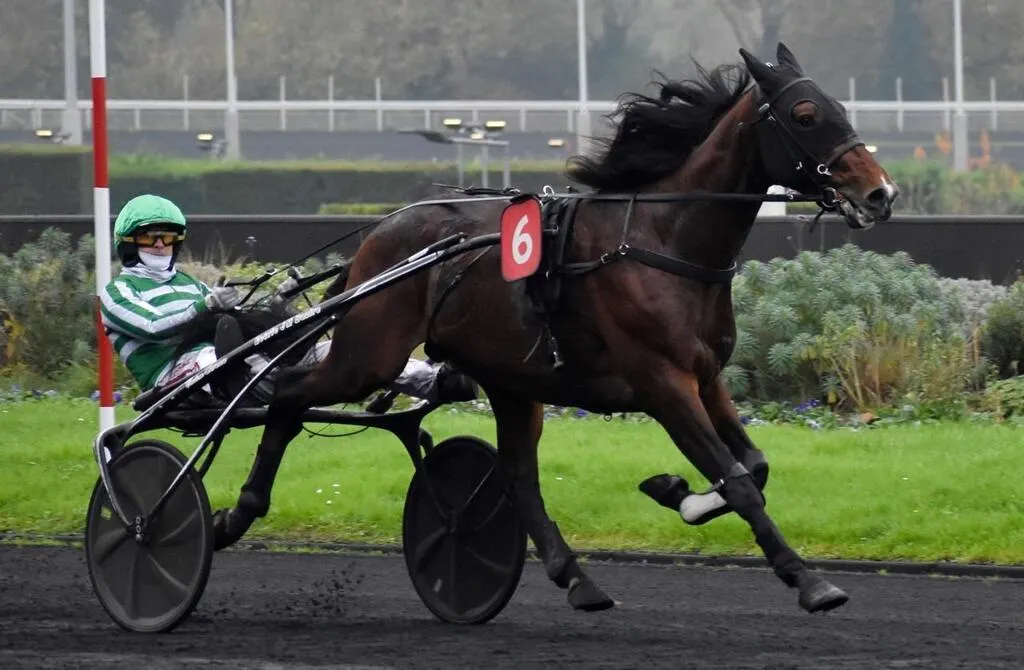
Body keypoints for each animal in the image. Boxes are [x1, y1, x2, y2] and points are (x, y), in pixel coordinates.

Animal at [210, 43, 899, 615]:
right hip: (368, 356)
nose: (881, 194)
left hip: (512, 381)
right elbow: (739, 480)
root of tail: (376, 236)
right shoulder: (663, 383)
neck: (661, 242)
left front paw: (678, 492)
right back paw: (234, 515)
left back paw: (576, 578)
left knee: (519, 475)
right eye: (806, 114)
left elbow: (753, 466)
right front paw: (809, 579)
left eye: (841, 106)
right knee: (290, 394)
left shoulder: (706, 378)